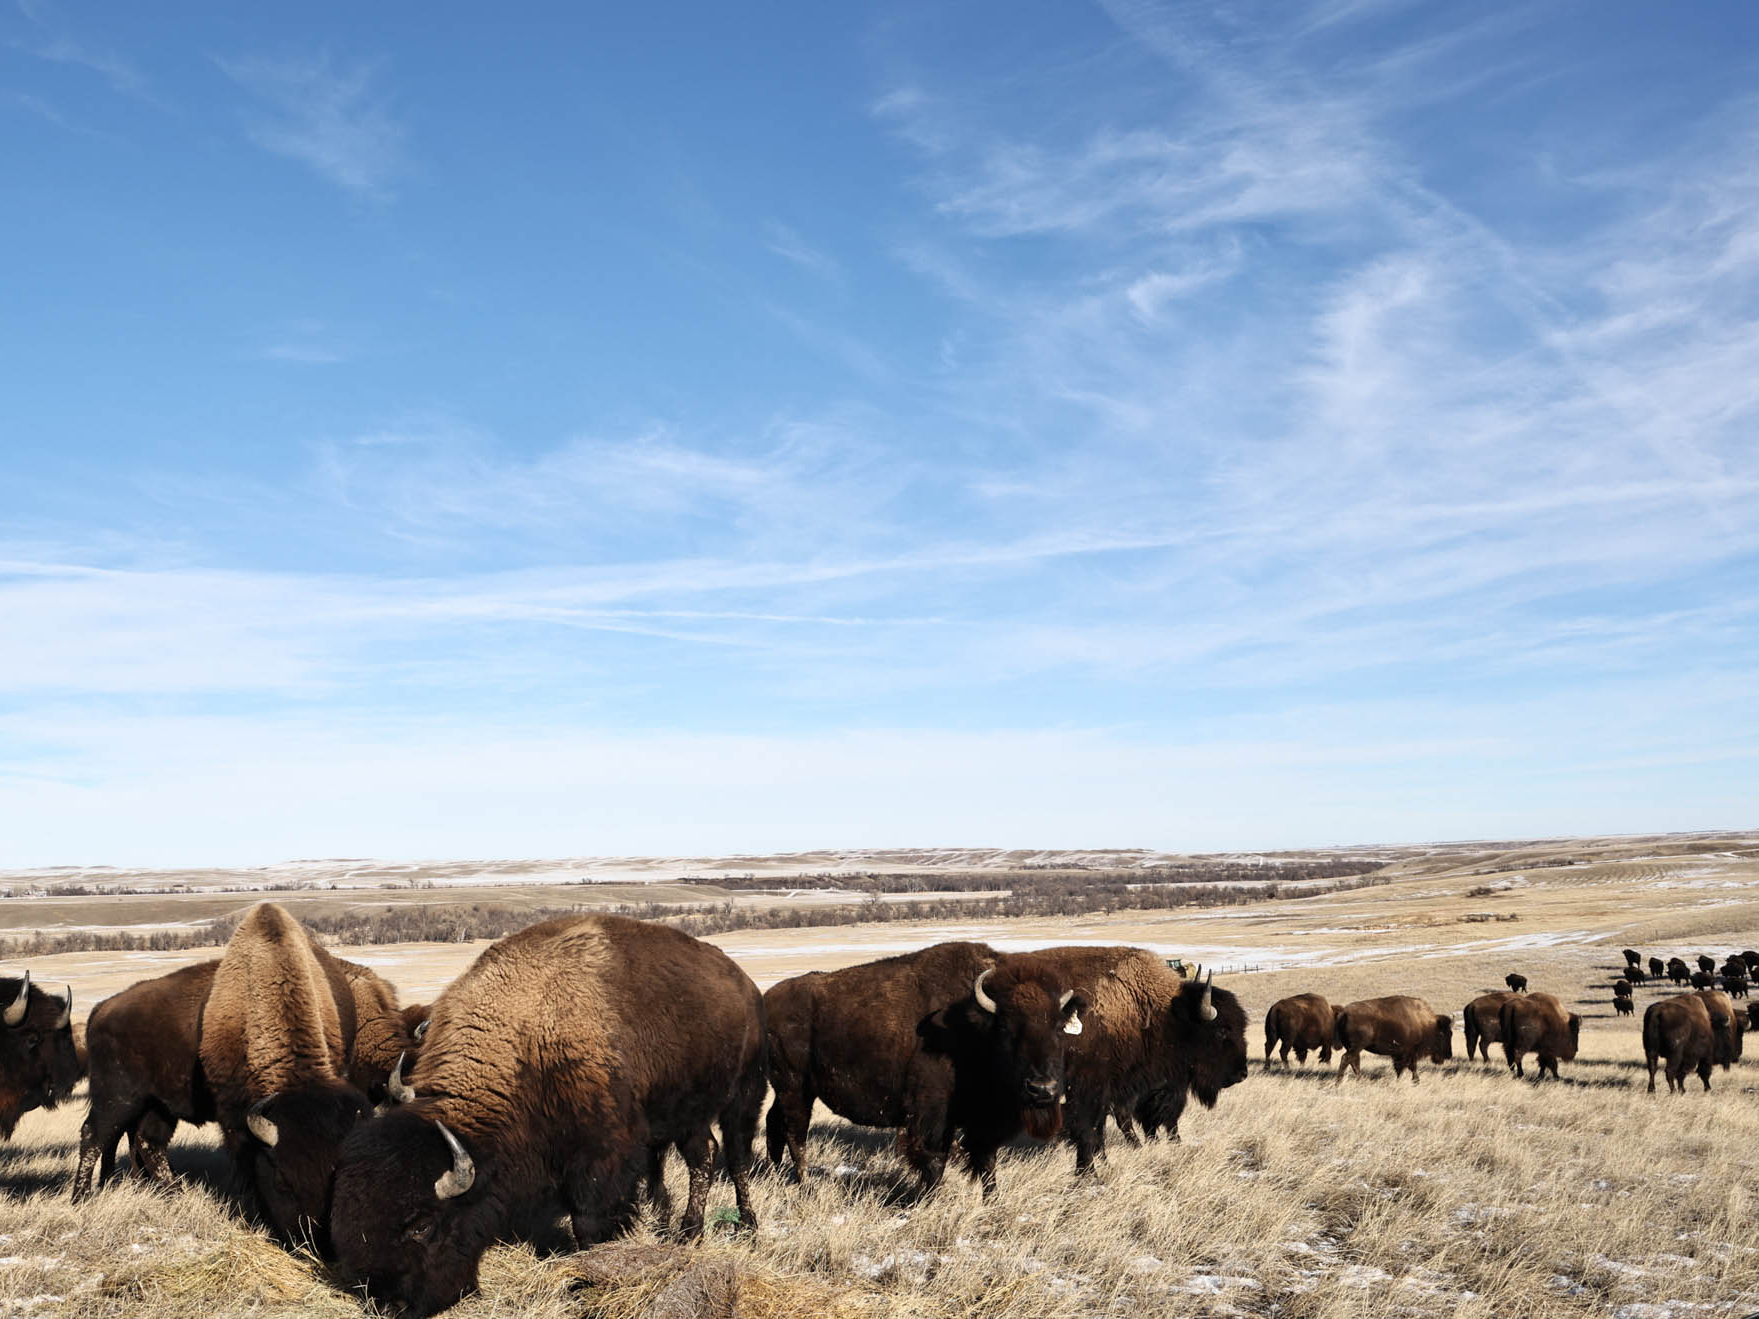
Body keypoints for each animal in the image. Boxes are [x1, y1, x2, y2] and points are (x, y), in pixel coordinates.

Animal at [331, 914, 767, 1318]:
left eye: (421, 1226)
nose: (390, 1304)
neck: (527, 1036)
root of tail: (746, 987)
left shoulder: (603, 1157)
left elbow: (588, 1220)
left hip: (742, 1097)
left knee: (736, 1158)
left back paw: (746, 1228)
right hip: (688, 1115)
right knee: (703, 1157)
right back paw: (688, 1234)